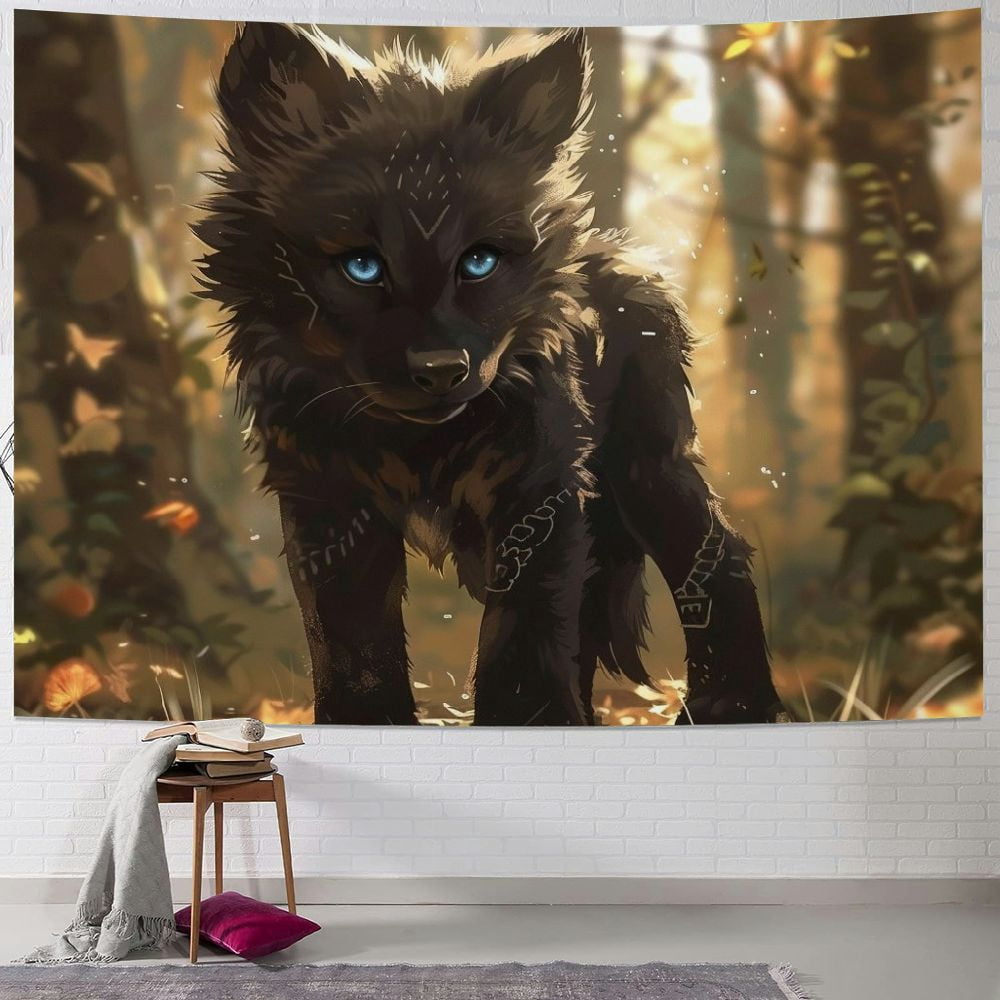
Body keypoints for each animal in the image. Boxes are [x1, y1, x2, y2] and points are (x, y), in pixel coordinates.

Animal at [196, 22, 786, 726]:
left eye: (479, 262)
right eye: (362, 266)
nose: (440, 371)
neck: (417, 444)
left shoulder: (537, 493)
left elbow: (522, 639)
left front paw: (531, 723)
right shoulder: (328, 506)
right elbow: (353, 645)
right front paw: (366, 724)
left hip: (645, 471)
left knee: (719, 552)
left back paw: (729, 706)